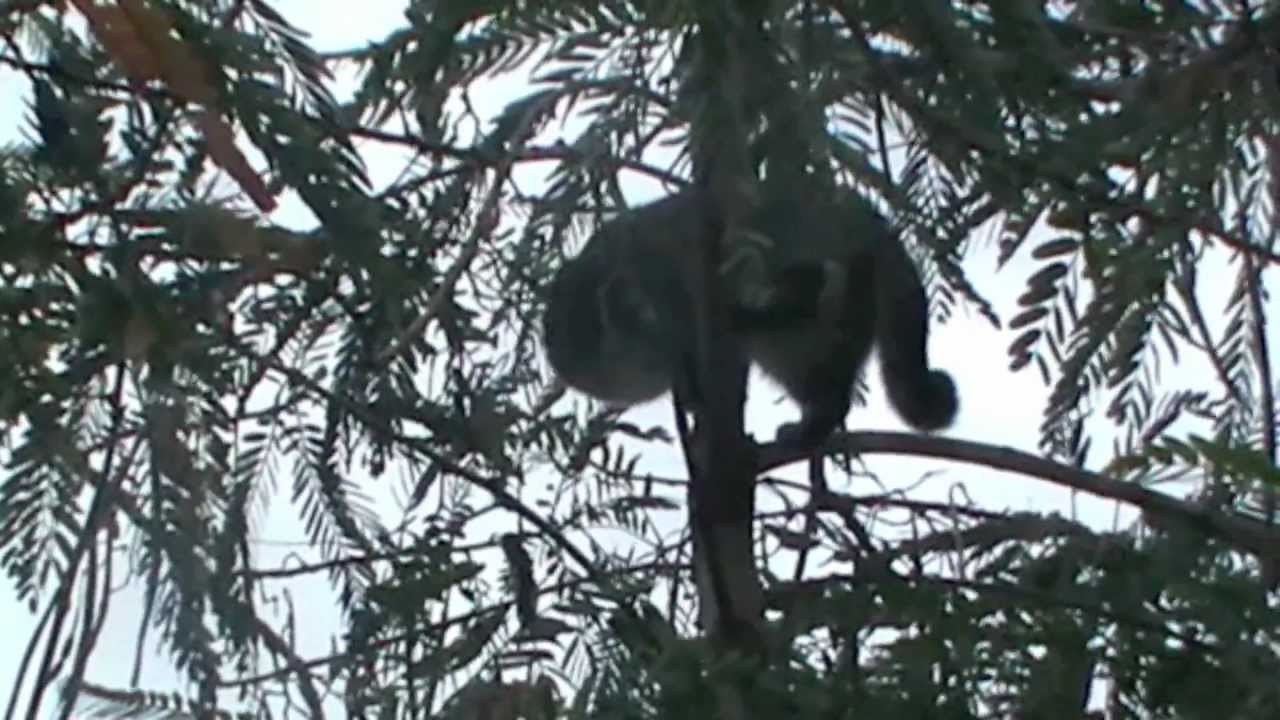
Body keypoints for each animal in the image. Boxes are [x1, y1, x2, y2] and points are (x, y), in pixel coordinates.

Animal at [540, 186, 958, 450]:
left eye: (611, 322)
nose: (633, 311)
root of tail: (870, 223)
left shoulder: (667, 259)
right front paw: (691, 389)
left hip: (806, 234)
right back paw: (819, 415)